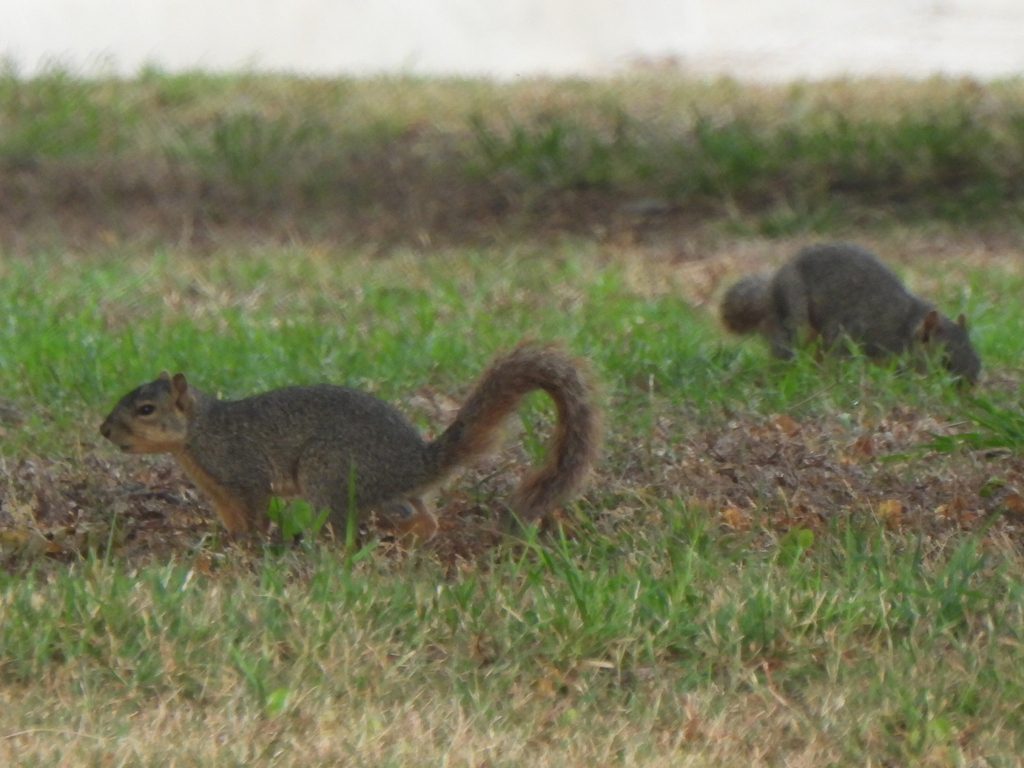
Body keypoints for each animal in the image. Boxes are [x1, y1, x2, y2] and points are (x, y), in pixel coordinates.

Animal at [99, 340, 600, 541]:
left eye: (146, 409)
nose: (104, 430)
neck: (198, 434)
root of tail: (415, 462)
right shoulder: (218, 491)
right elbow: (233, 521)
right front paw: (231, 542)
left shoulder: (242, 471)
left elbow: (256, 511)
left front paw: (254, 544)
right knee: (421, 515)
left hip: (330, 469)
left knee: (350, 525)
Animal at [720, 242, 981, 384]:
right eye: (945, 361)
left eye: (975, 353)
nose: (970, 386)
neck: (905, 328)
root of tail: (773, 286)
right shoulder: (855, 332)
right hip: (796, 314)